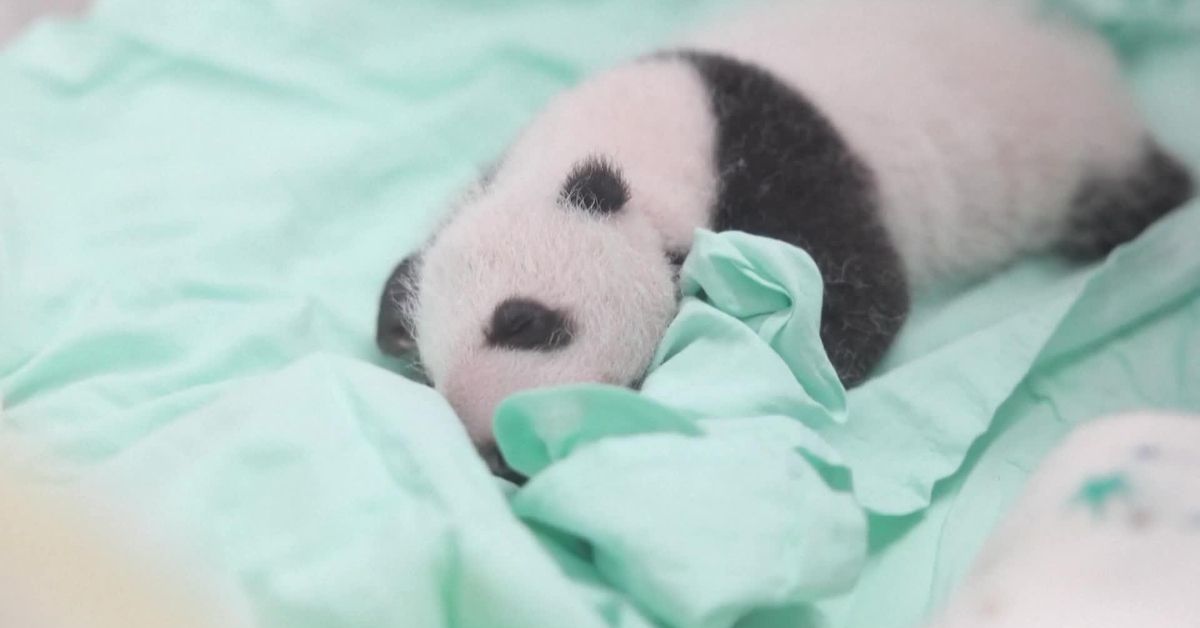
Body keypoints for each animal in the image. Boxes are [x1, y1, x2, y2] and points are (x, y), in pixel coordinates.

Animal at [376, 0, 1193, 478]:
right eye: (432, 380)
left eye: (521, 322)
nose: (497, 450)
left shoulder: (786, 160)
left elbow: (860, 292)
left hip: (1079, 148)